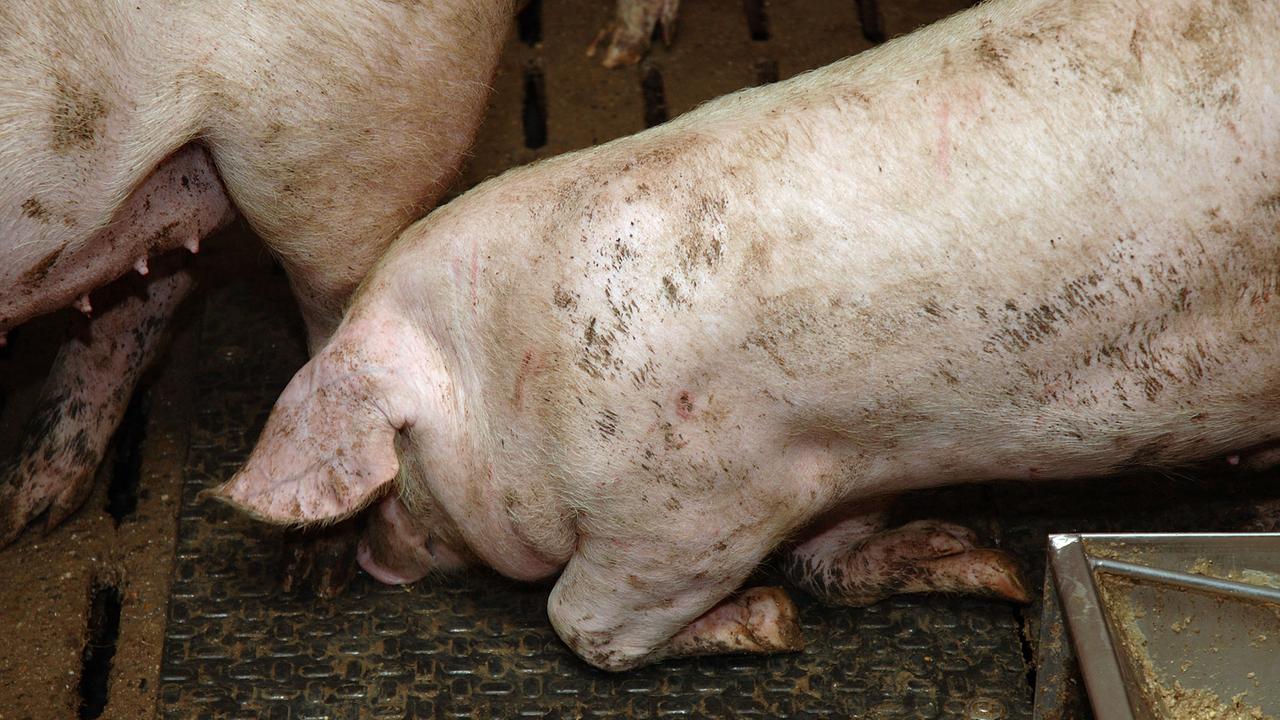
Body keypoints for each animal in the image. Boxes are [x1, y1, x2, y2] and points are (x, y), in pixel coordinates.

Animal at [214, 0, 1278, 670]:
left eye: (398, 462)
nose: (369, 561)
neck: (503, 383)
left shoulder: (690, 517)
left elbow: (580, 623)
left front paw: (772, 626)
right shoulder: (850, 455)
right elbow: (841, 555)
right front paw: (992, 571)